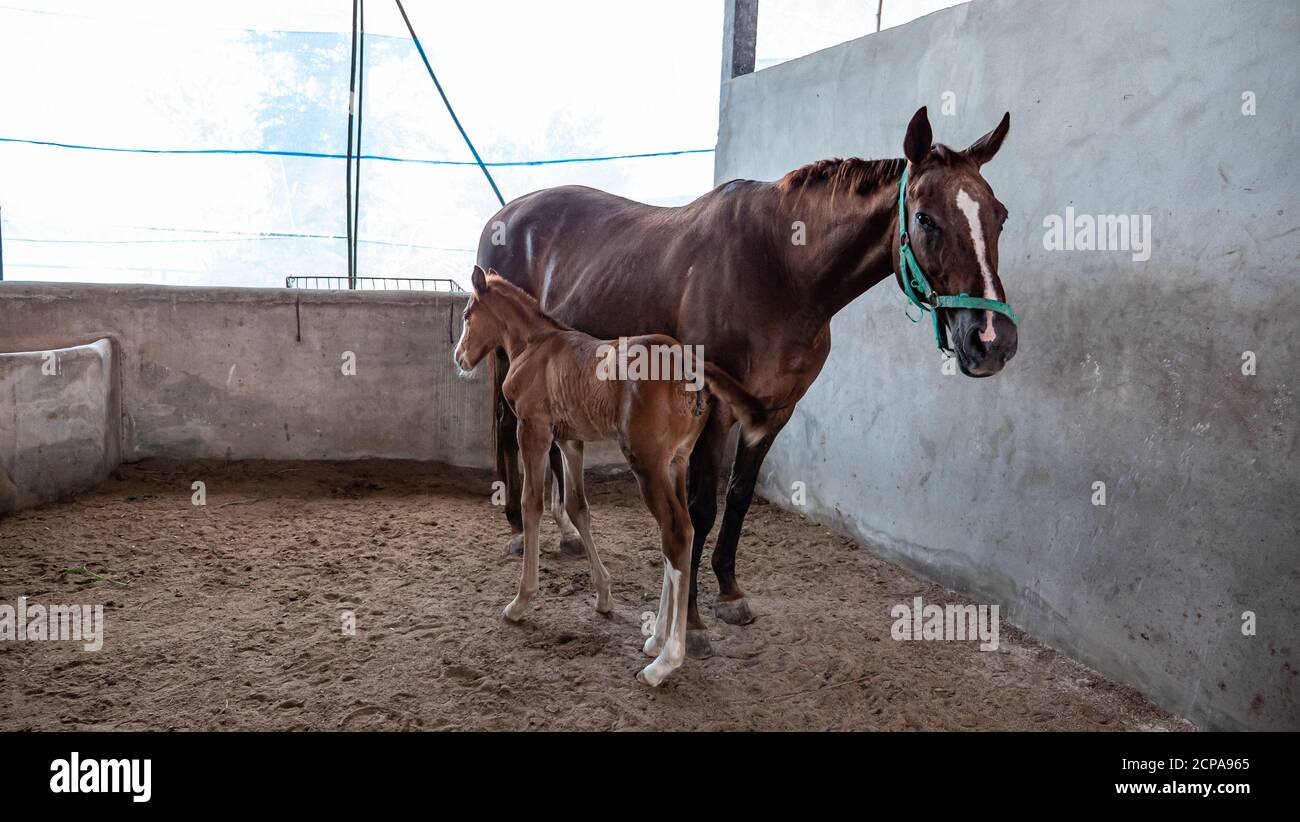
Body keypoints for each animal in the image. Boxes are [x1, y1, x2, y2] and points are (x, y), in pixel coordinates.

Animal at [452, 265, 769, 685]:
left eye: (467, 315)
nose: (460, 357)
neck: (534, 346)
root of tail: (687, 362)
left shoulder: (532, 431)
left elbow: (532, 504)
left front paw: (521, 601)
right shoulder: (570, 441)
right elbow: (578, 507)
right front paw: (603, 595)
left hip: (647, 464)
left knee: (676, 534)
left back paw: (664, 662)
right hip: (676, 462)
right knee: (679, 533)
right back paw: (656, 639)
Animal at [476, 106, 1018, 659]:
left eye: (999, 216)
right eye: (925, 218)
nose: (992, 341)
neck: (779, 272)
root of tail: (508, 212)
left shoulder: (774, 412)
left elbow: (738, 496)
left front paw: (730, 593)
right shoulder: (715, 410)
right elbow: (700, 508)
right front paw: (692, 624)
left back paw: (564, 530)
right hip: (503, 355)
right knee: (506, 432)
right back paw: (518, 528)